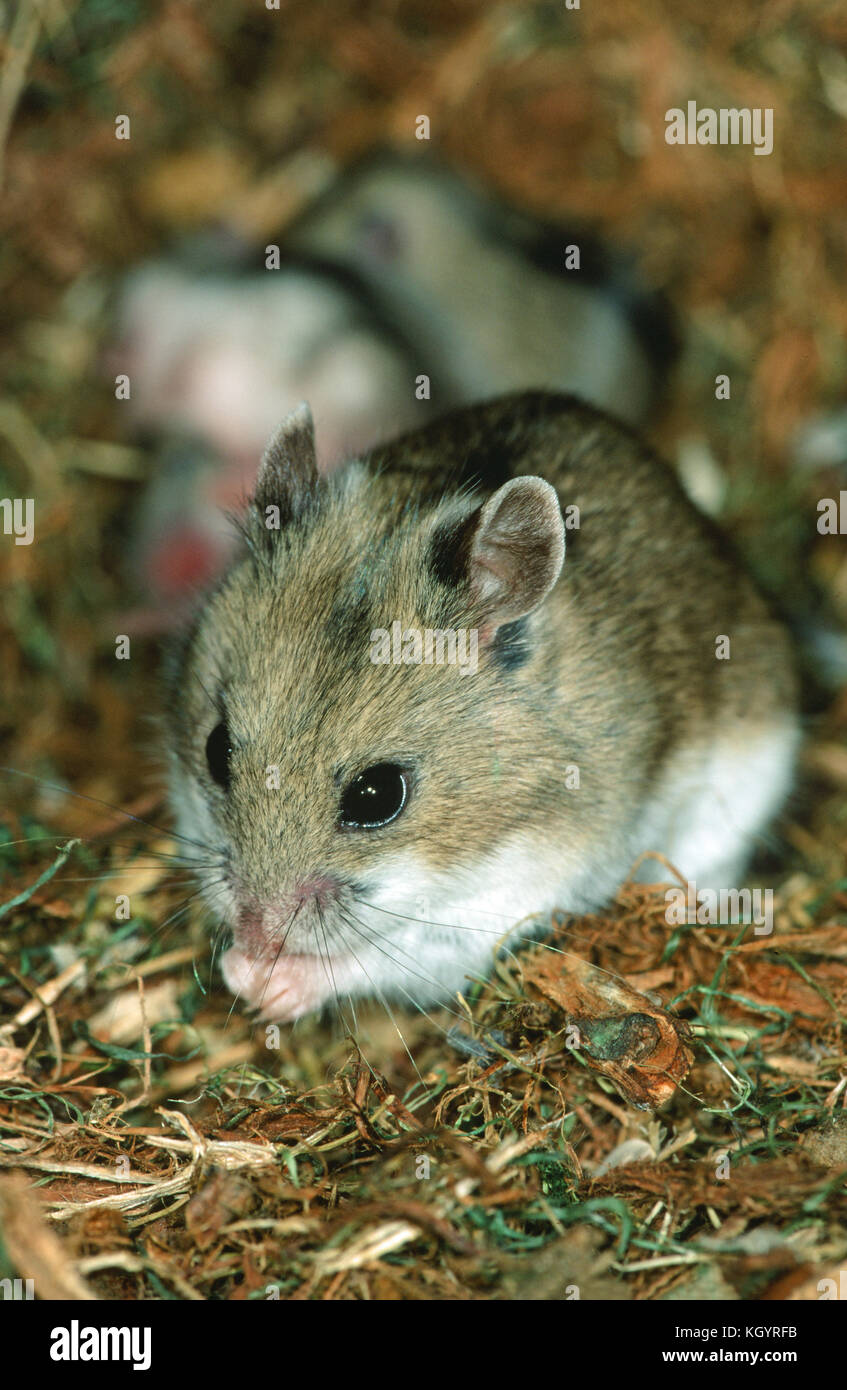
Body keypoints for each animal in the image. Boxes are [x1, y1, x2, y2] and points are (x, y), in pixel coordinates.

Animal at [164, 392, 799, 1023]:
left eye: (378, 796)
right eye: (216, 751)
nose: (255, 930)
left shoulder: (500, 905)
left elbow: (385, 960)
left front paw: (260, 979)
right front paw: (240, 964)